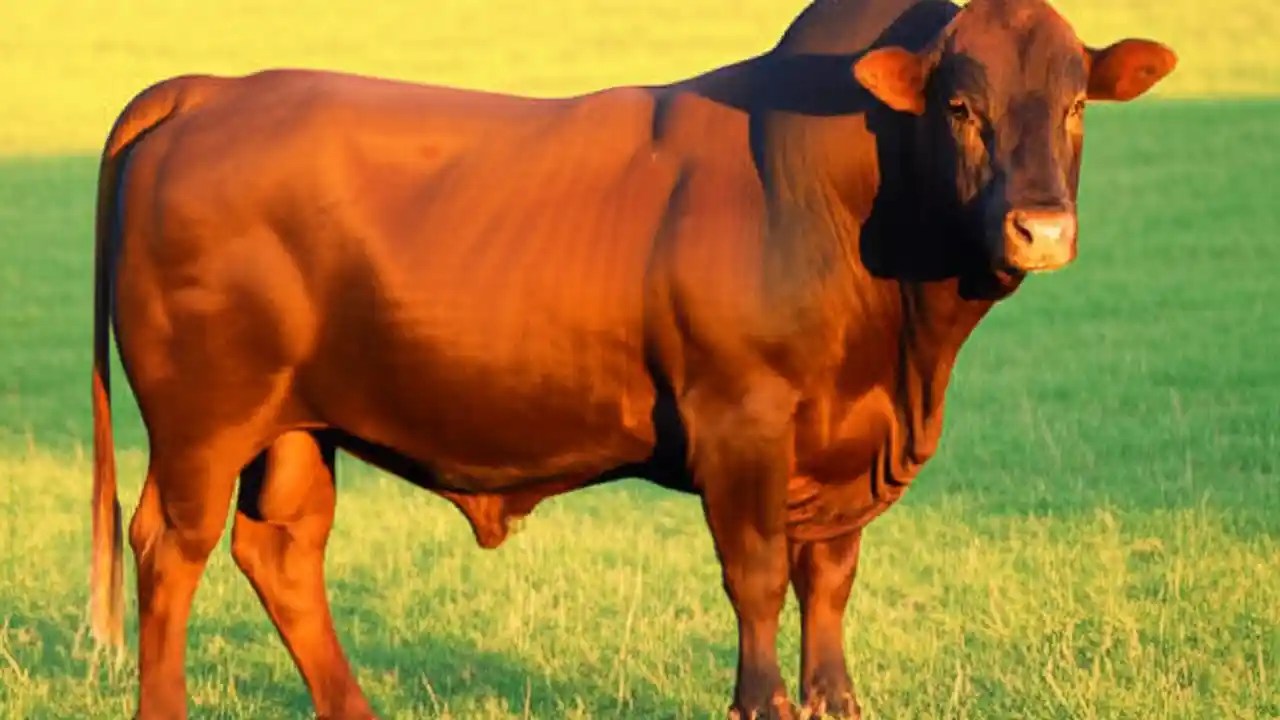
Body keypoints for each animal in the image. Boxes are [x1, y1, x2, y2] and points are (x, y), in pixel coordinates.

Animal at [87, 0, 1175, 717]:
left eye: (1075, 105)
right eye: (959, 108)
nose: (1041, 228)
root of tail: (209, 92)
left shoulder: (843, 446)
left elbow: (827, 586)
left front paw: (834, 701)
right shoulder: (740, 421)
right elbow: (755, 576)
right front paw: (760, 704)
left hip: (297, 426)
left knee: (282, 549)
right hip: (203, 420)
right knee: (171, 549)